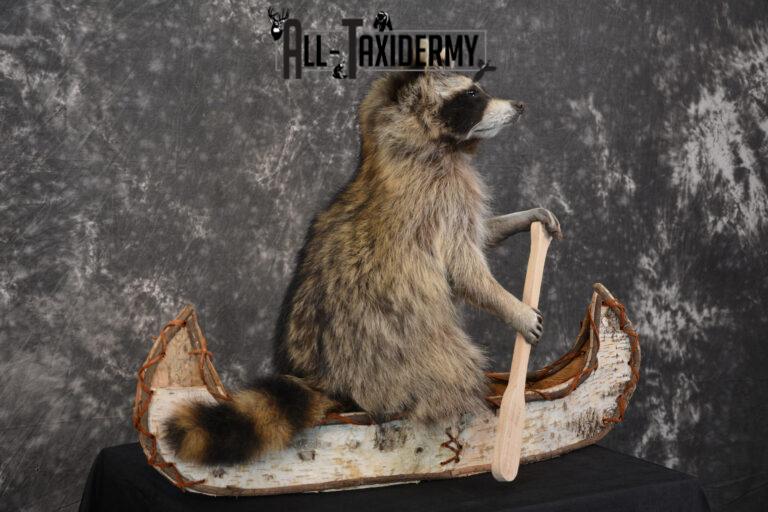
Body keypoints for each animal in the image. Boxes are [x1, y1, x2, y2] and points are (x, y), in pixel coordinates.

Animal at [164, 66, 562, 466]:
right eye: (472, 95)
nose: (520, 105)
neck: (417, 145)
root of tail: (322, 379)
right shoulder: (437, 201)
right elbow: (465, 270)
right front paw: (512, 307)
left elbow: (481, 237)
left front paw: (527, 217)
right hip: (388, 353)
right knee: (450, 369)